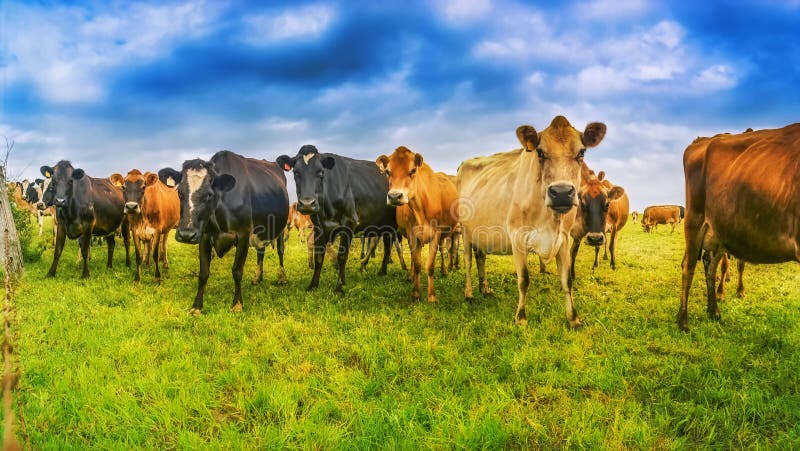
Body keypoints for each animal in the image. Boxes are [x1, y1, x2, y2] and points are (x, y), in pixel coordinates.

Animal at [158, 150, 289, 315]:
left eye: (209, 194)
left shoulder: (243, 234)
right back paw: (258, 278)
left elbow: (237, 271)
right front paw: (197, 306)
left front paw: (237, 304)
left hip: (281, 227)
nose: (186, 235)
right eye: (180, 192)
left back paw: (282, 278)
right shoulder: (204, 236)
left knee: (280, 250)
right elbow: (203, 273)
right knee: (261, 250)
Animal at [276, 145, 398, 293]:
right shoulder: (319, 228)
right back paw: (383, 271)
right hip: (385, 225)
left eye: (321, 172)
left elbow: (342, 256)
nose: (307, 204)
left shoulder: (349, 224)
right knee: (387, 245)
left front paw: (339, 287)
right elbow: (319, 257)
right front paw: (313, 285)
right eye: (296, 173)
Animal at [376, 146, 459, 301]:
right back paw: (411, 276)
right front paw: (415, 292)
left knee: (443, 251)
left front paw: (431, 296)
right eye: (388, 172)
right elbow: (418, 263)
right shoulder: (412, 234)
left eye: (413, 170)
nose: (395, 196)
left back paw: (444, 270)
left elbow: (430, 265)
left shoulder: (437, 233)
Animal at [457, 116, 606, 327]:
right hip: (465, 230)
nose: (562, 193)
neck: (550, 219)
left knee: (480, 258)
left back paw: (484, 289)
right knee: (468, 261)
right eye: (540, 152)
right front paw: (521, 318)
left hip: (482, 232)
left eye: (581, 152)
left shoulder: (563, 238)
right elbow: (523, 280)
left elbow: (566, 280)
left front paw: (573, 318)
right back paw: (469, 293)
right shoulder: (517, 237)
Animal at [678, 124, 799, 330]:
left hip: (721, 230)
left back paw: (714, 311)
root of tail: (702, 140)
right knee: (689, 266)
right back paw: (683, 320)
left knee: (710, 266)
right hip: (695, 220)